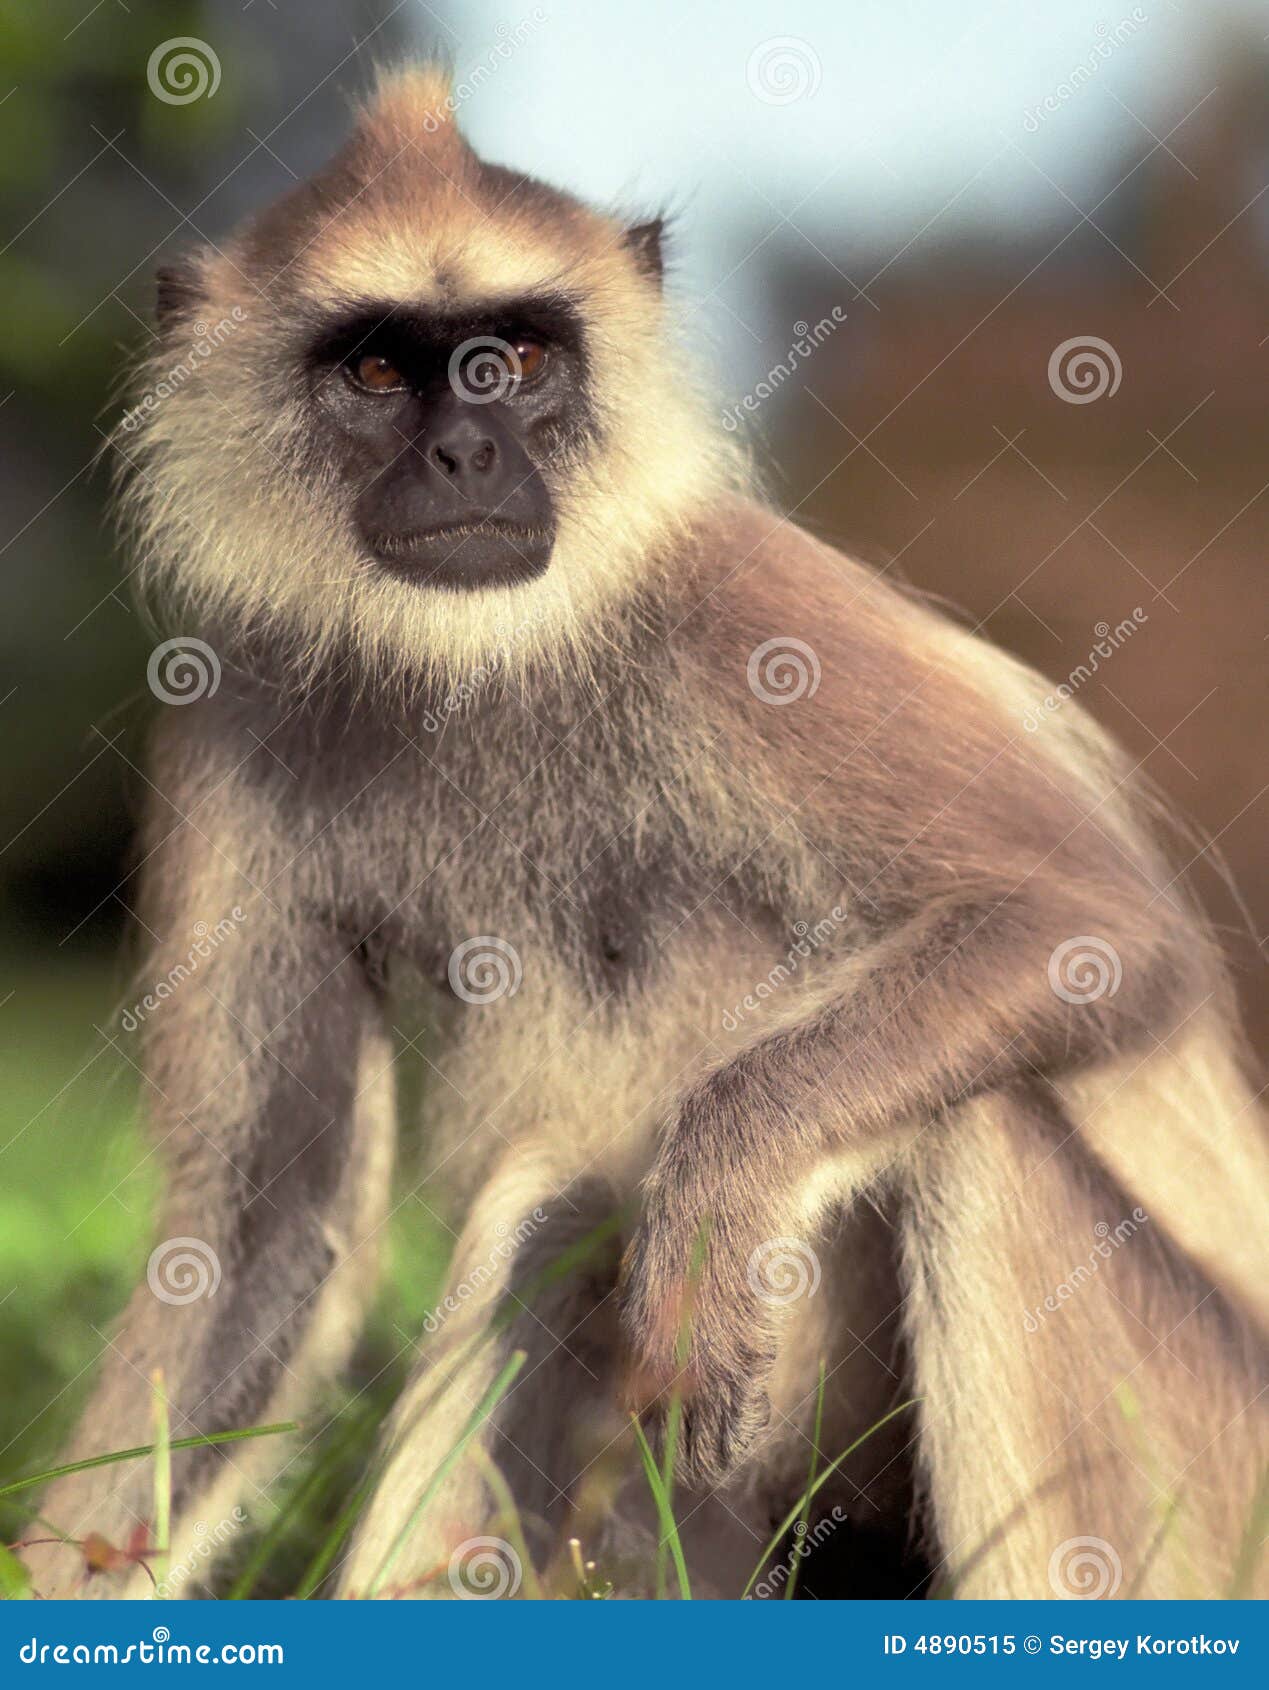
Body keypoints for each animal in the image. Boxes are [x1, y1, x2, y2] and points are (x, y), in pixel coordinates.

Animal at [25, 64, 1267, 1601]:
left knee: (975, 1125)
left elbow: (1093, 922)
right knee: (549, 1207)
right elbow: (263, 1227)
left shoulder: (734, 613)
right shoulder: (231, 695)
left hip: (1206, 1469)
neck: (484, 657)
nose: (466, 449)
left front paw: (718, 1202)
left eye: (511, 360)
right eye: (379, 372)